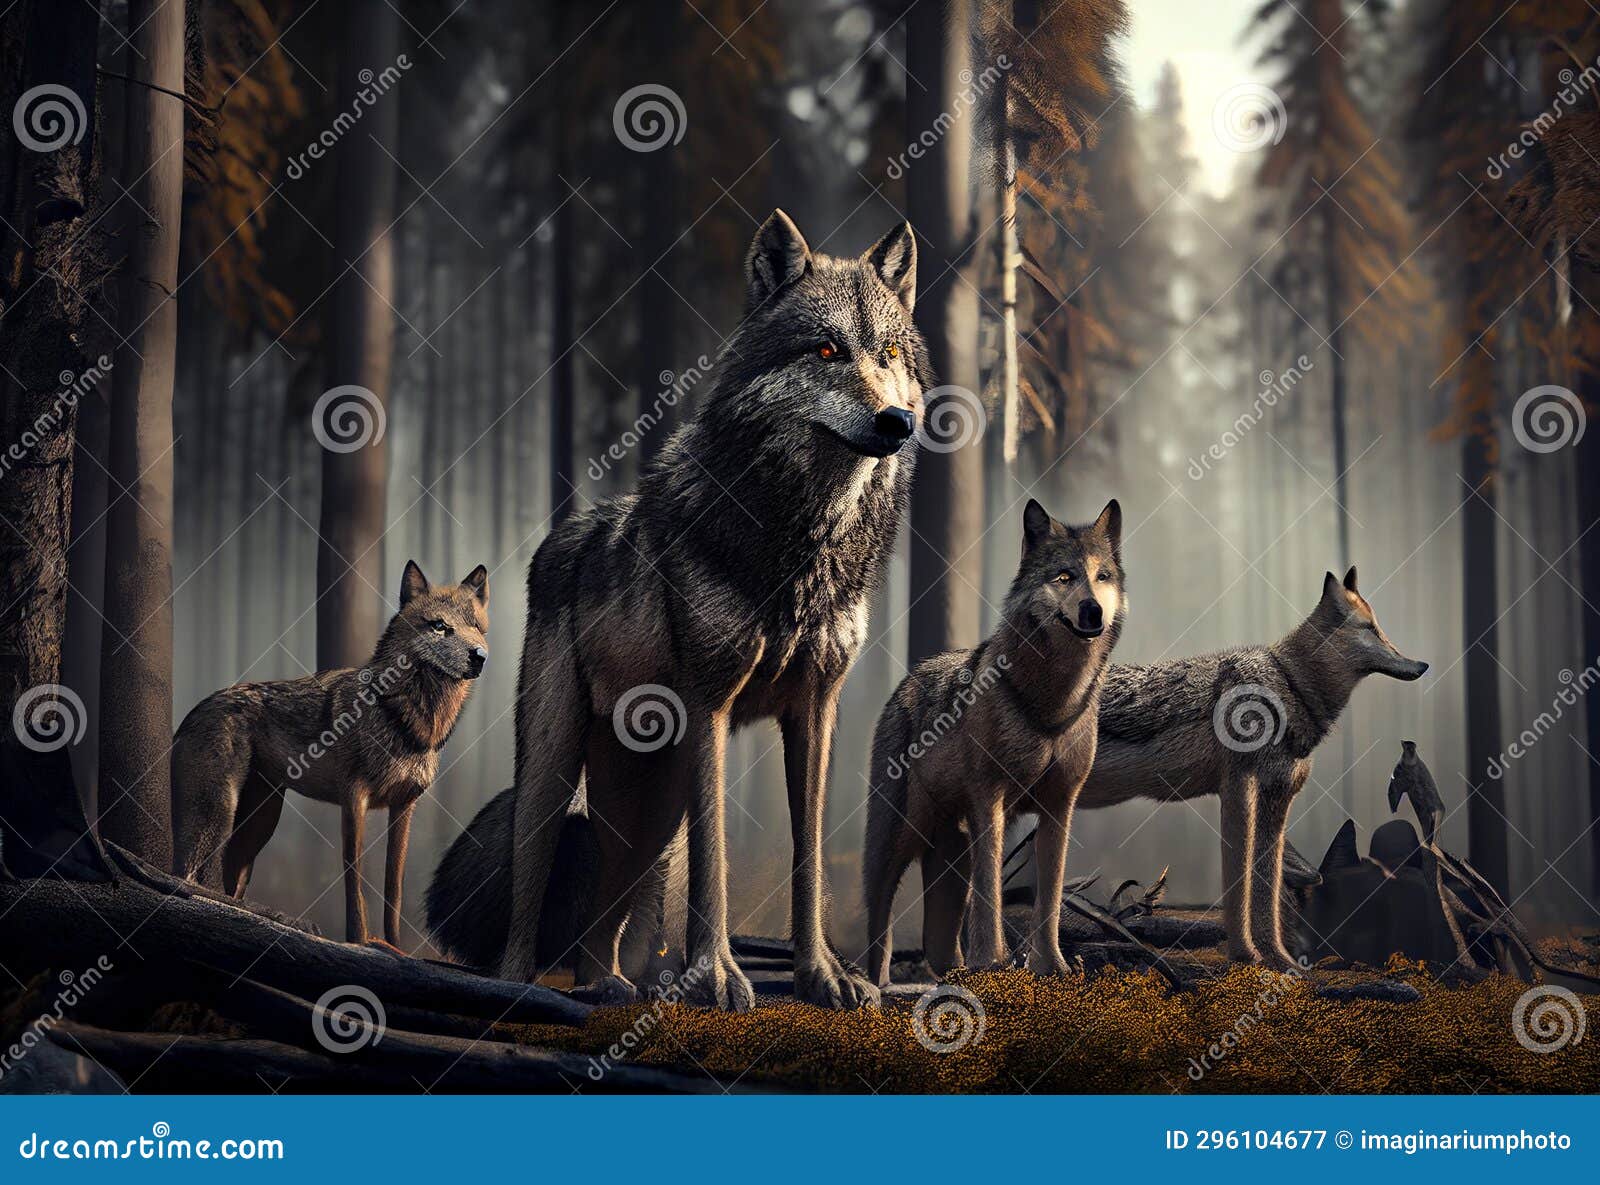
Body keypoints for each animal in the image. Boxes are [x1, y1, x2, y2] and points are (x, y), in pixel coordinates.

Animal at [171, 561, 489, 947]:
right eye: (440, 626)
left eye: (476, 627)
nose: (480, 656)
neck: (404, 719)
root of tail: (192, 711)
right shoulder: (354, 801)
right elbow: (355, 882)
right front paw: (360, 941)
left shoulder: (404, 807)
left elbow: (394, 892)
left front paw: (395, 948)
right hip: (220, 814)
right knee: (192, 881)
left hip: (258, 826)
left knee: (222, 885)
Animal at [430, 210, 927, 1010]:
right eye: (826, 350)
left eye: (888, 354)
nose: (896, 422)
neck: (802, 542)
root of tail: (563, 533)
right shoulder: (709, 706)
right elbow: (715, 858)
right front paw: (715, 977)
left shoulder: (816, 713)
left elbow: (811, 857)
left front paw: (821, 976)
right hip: (555, 764)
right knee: (532, 887)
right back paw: (520, 985)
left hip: (650, 802)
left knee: (606, 905)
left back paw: (606, 984)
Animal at [863, 499, 1124, 986]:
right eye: (1064, 577)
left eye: (1102, 577)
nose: (1092, 611)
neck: (1049, 707)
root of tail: (911, 675)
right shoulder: (990, 801)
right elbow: (990, 893)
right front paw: (992, 962)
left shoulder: (1060, 806)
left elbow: (1050, 896)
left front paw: (1052, 968)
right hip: (897, 838)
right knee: (878, 912)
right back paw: (872, 983)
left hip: (950, 856)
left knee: (939, 944)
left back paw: (950, 975)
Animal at [1058, 567, 1428, 970]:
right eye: (1370, 629)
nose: (1421, 665)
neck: (1289, 684)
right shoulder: (1237, 789)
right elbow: (1239, 887)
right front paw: (1247, 956)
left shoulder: (1277, 796)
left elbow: (1267, 885)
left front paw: (1278, 960)